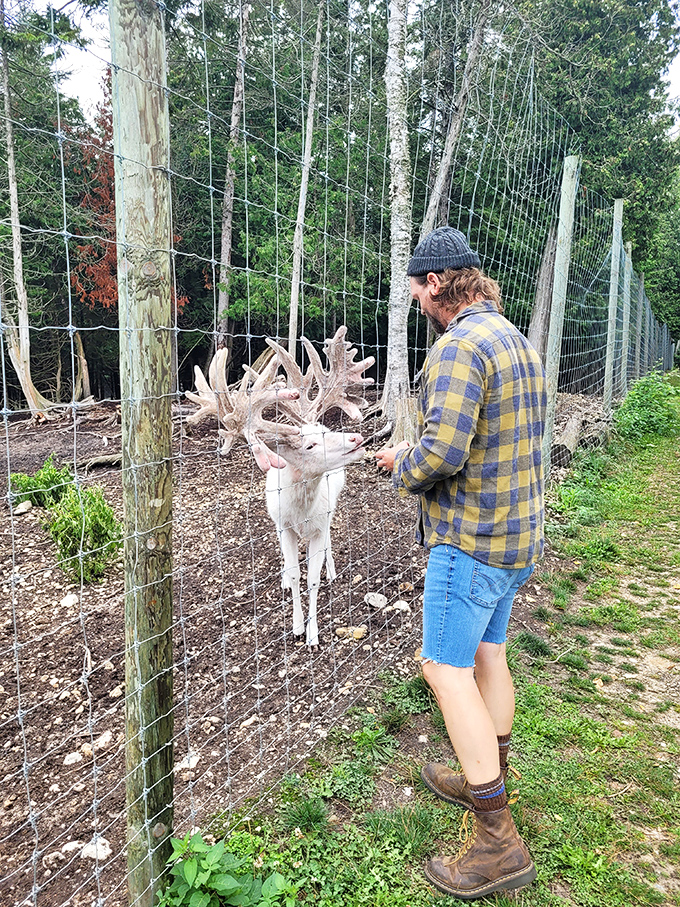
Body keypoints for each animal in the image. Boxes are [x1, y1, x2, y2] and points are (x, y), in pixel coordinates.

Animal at [185, 327, 375, 647]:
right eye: (310, 445)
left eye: (325, 431)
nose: (356, 438)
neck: (301, 514)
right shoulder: (284, 525)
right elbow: (296, 573)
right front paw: (297, 624)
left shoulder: (319, 525)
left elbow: (312, 578)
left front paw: (312, 634)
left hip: (332, 507)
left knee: (329, 540)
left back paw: (332, 570)